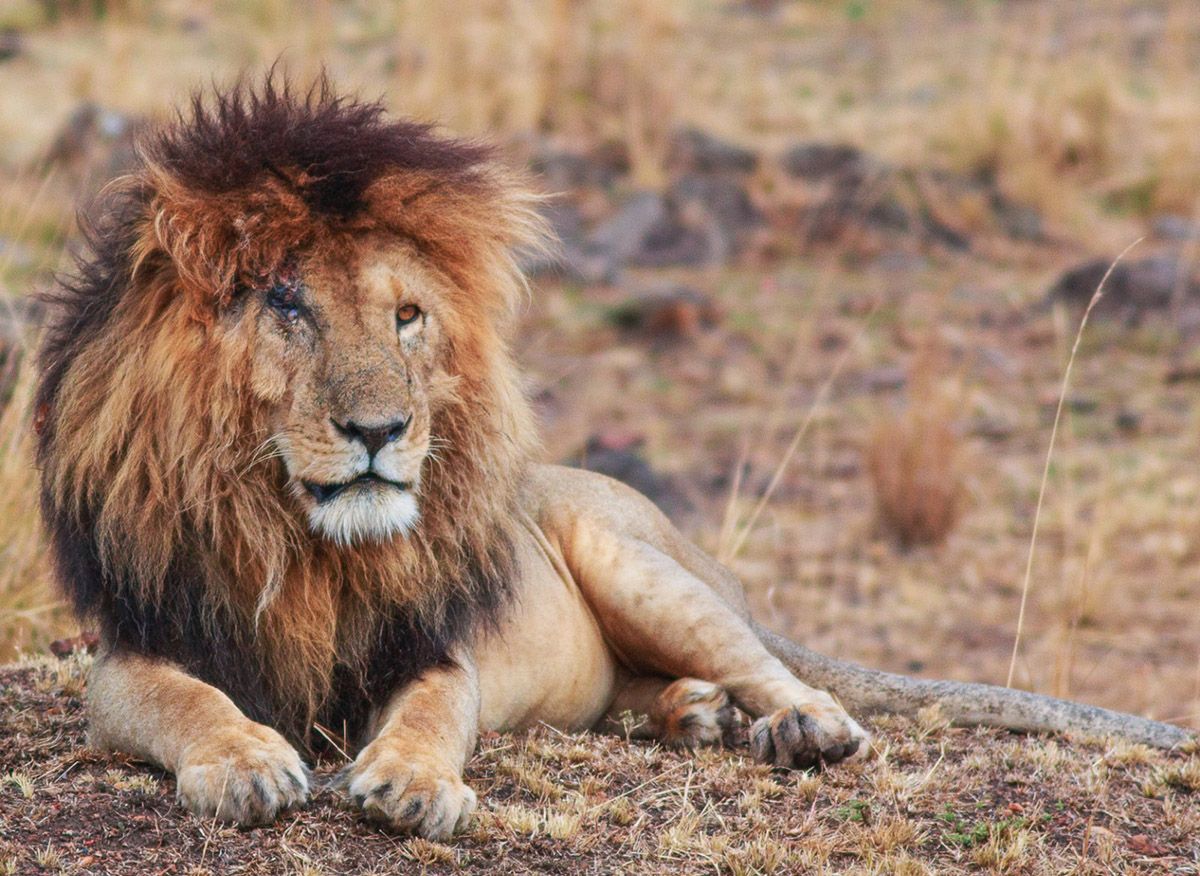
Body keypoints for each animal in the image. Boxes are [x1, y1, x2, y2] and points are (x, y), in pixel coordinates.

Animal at [36, 78, 1190, 841]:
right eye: (288, 304)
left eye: (408, 316)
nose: (381, 431)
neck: (307, 542)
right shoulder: (139, 644)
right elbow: (185, 703)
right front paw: (245, 765)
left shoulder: (435, 647)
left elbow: (432, 712)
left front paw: (414, 784)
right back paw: (691, 714)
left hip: (631, 558)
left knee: (770, 666)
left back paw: (799, 727)